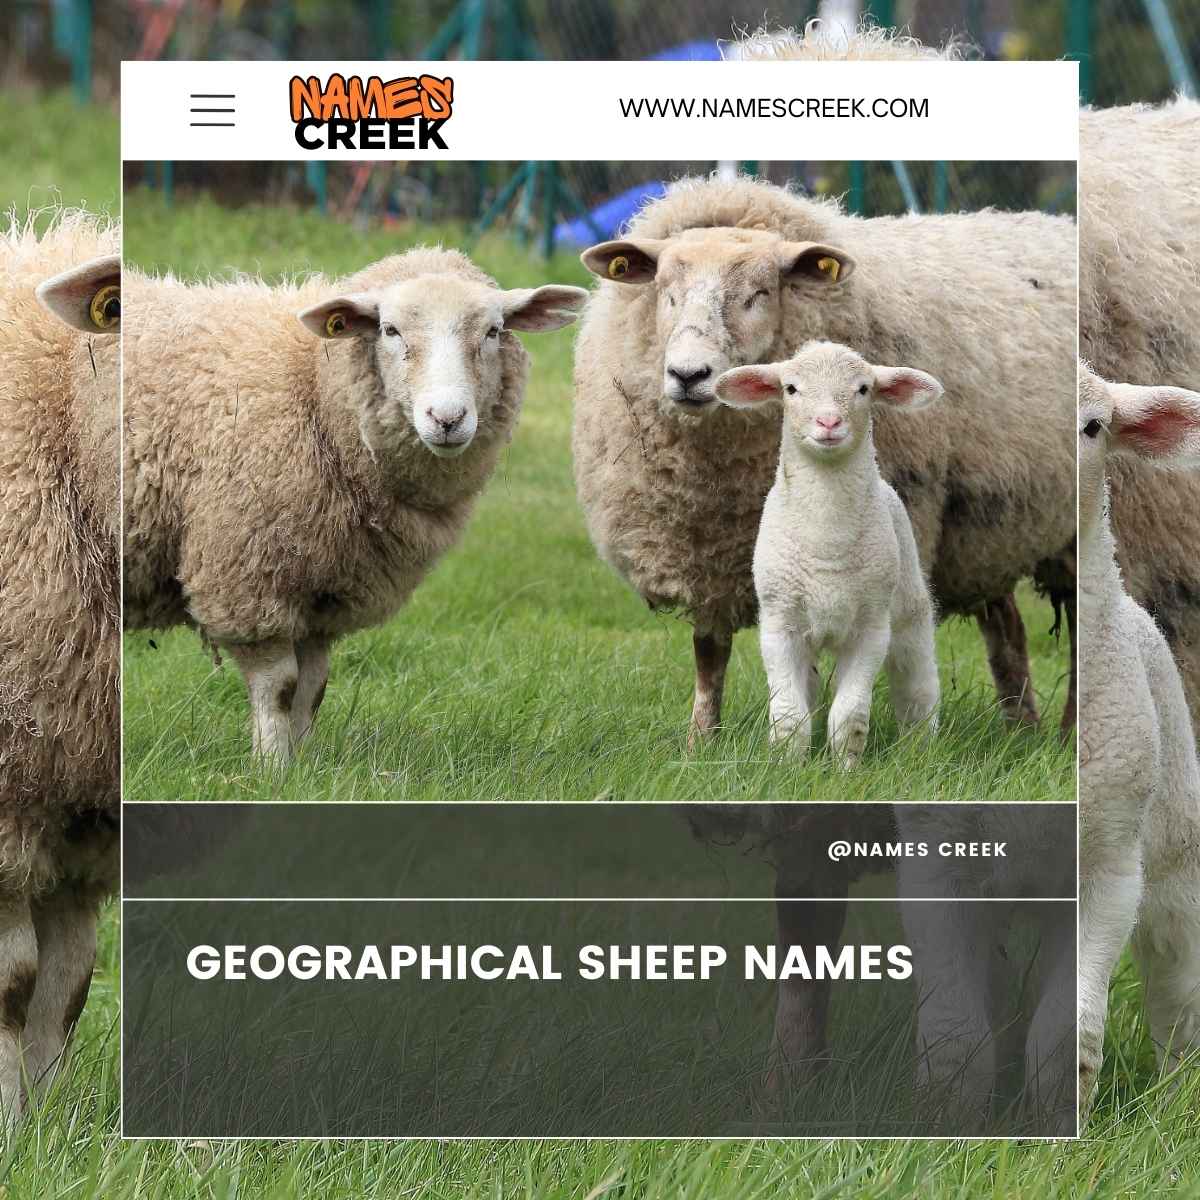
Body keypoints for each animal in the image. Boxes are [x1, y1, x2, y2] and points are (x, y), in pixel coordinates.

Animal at [123, 247, 587, 763]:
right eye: (390, 330)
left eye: (493, 331)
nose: (447, 419)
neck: (313, 388)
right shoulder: (246, 577)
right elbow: (278, 687)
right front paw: (271, 767)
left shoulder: (323, 592)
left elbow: (312, 688)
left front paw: (303, 765)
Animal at [714, 341, 941, 766]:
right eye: (790, 388)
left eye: (864, 389)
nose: (829, 422)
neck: (827, 542)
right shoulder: (779, 625)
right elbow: (790, 717)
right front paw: (787, 766)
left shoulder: (871, 629)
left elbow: (849, 717)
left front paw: (847, 769)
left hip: (909, 610)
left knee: (917, 687)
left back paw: (920, 750)